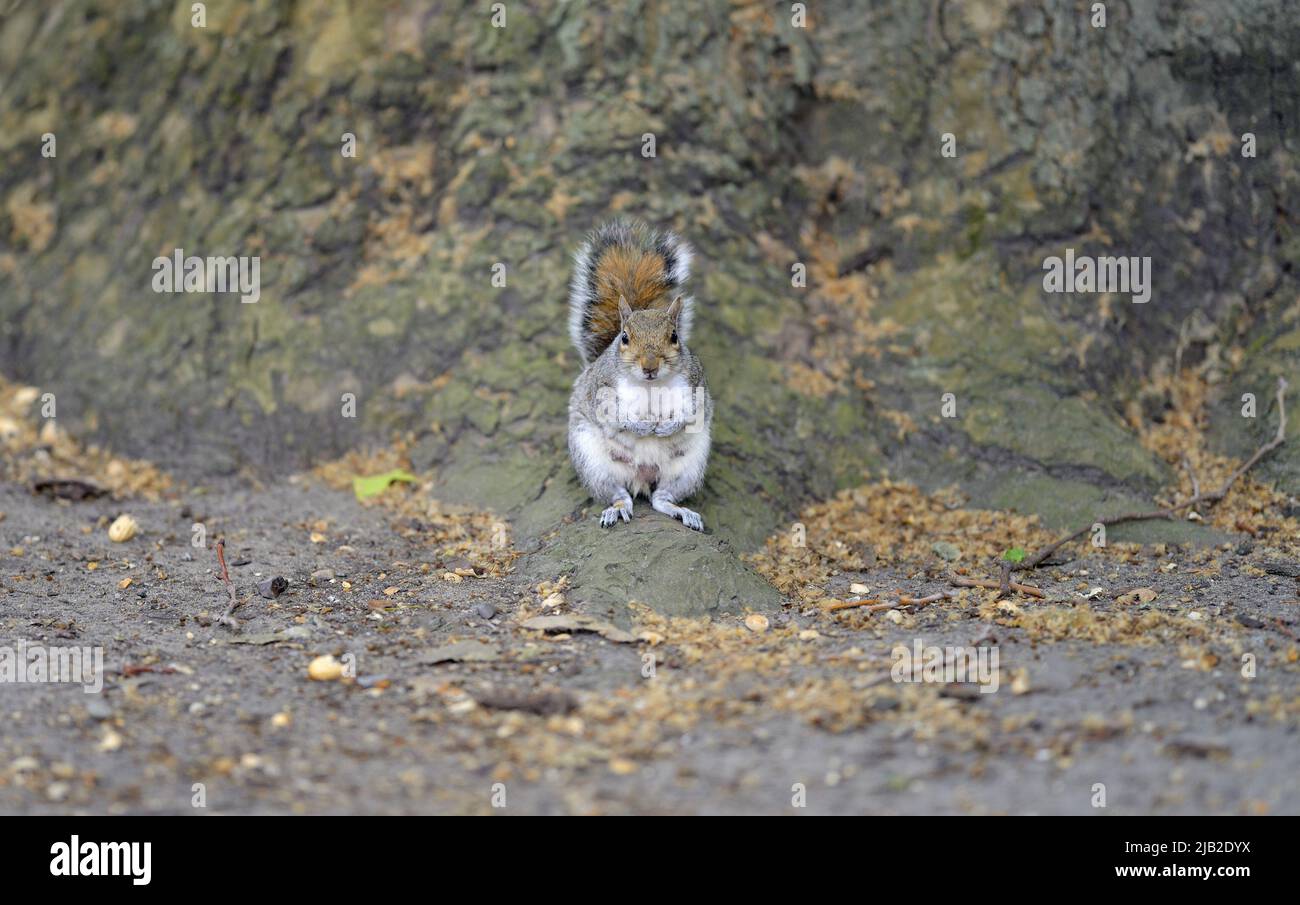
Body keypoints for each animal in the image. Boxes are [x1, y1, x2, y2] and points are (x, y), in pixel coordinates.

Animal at [567, 219, 713, 531]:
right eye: (624, 337)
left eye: (674, 336)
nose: (650, 366)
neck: (650, 387)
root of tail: (642, 477)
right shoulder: (603, 391)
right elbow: (615, 417)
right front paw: (643, 428)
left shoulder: (694, 387)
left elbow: (691, 412)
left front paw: (666, 428)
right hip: (594, 463)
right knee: (619, 494)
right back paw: (617, 509)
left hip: (687, 467)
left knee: (661, 498)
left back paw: (681, 511)